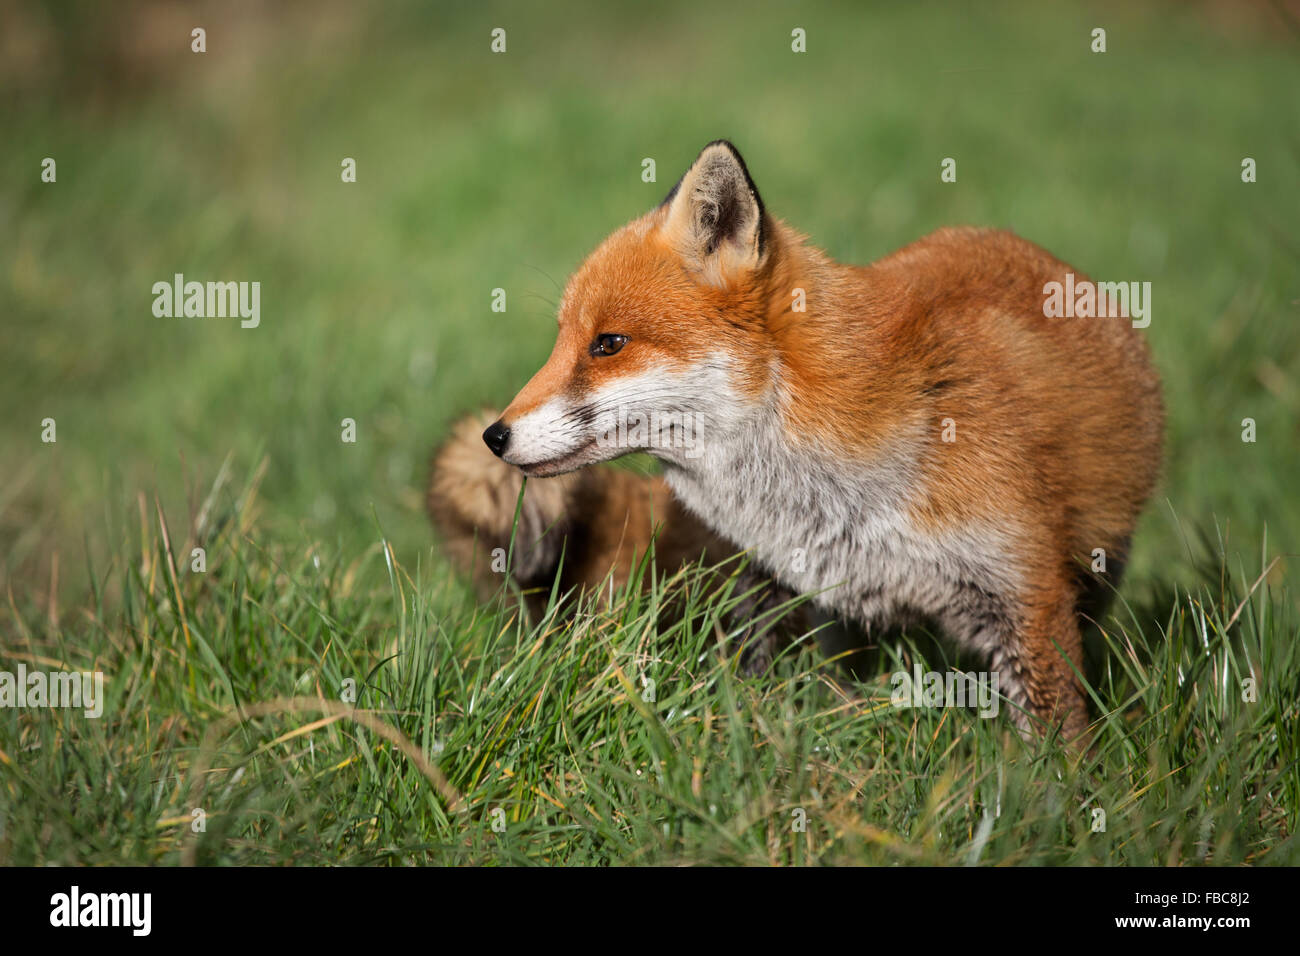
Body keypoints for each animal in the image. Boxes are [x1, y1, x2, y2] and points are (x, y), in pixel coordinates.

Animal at [472, 139, 1164, 741]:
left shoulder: (1027, 593)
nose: (493, 437)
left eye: (608, 344)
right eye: (561, 340)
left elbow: (1056, 753)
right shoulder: (796, 593)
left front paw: (1051, 801)